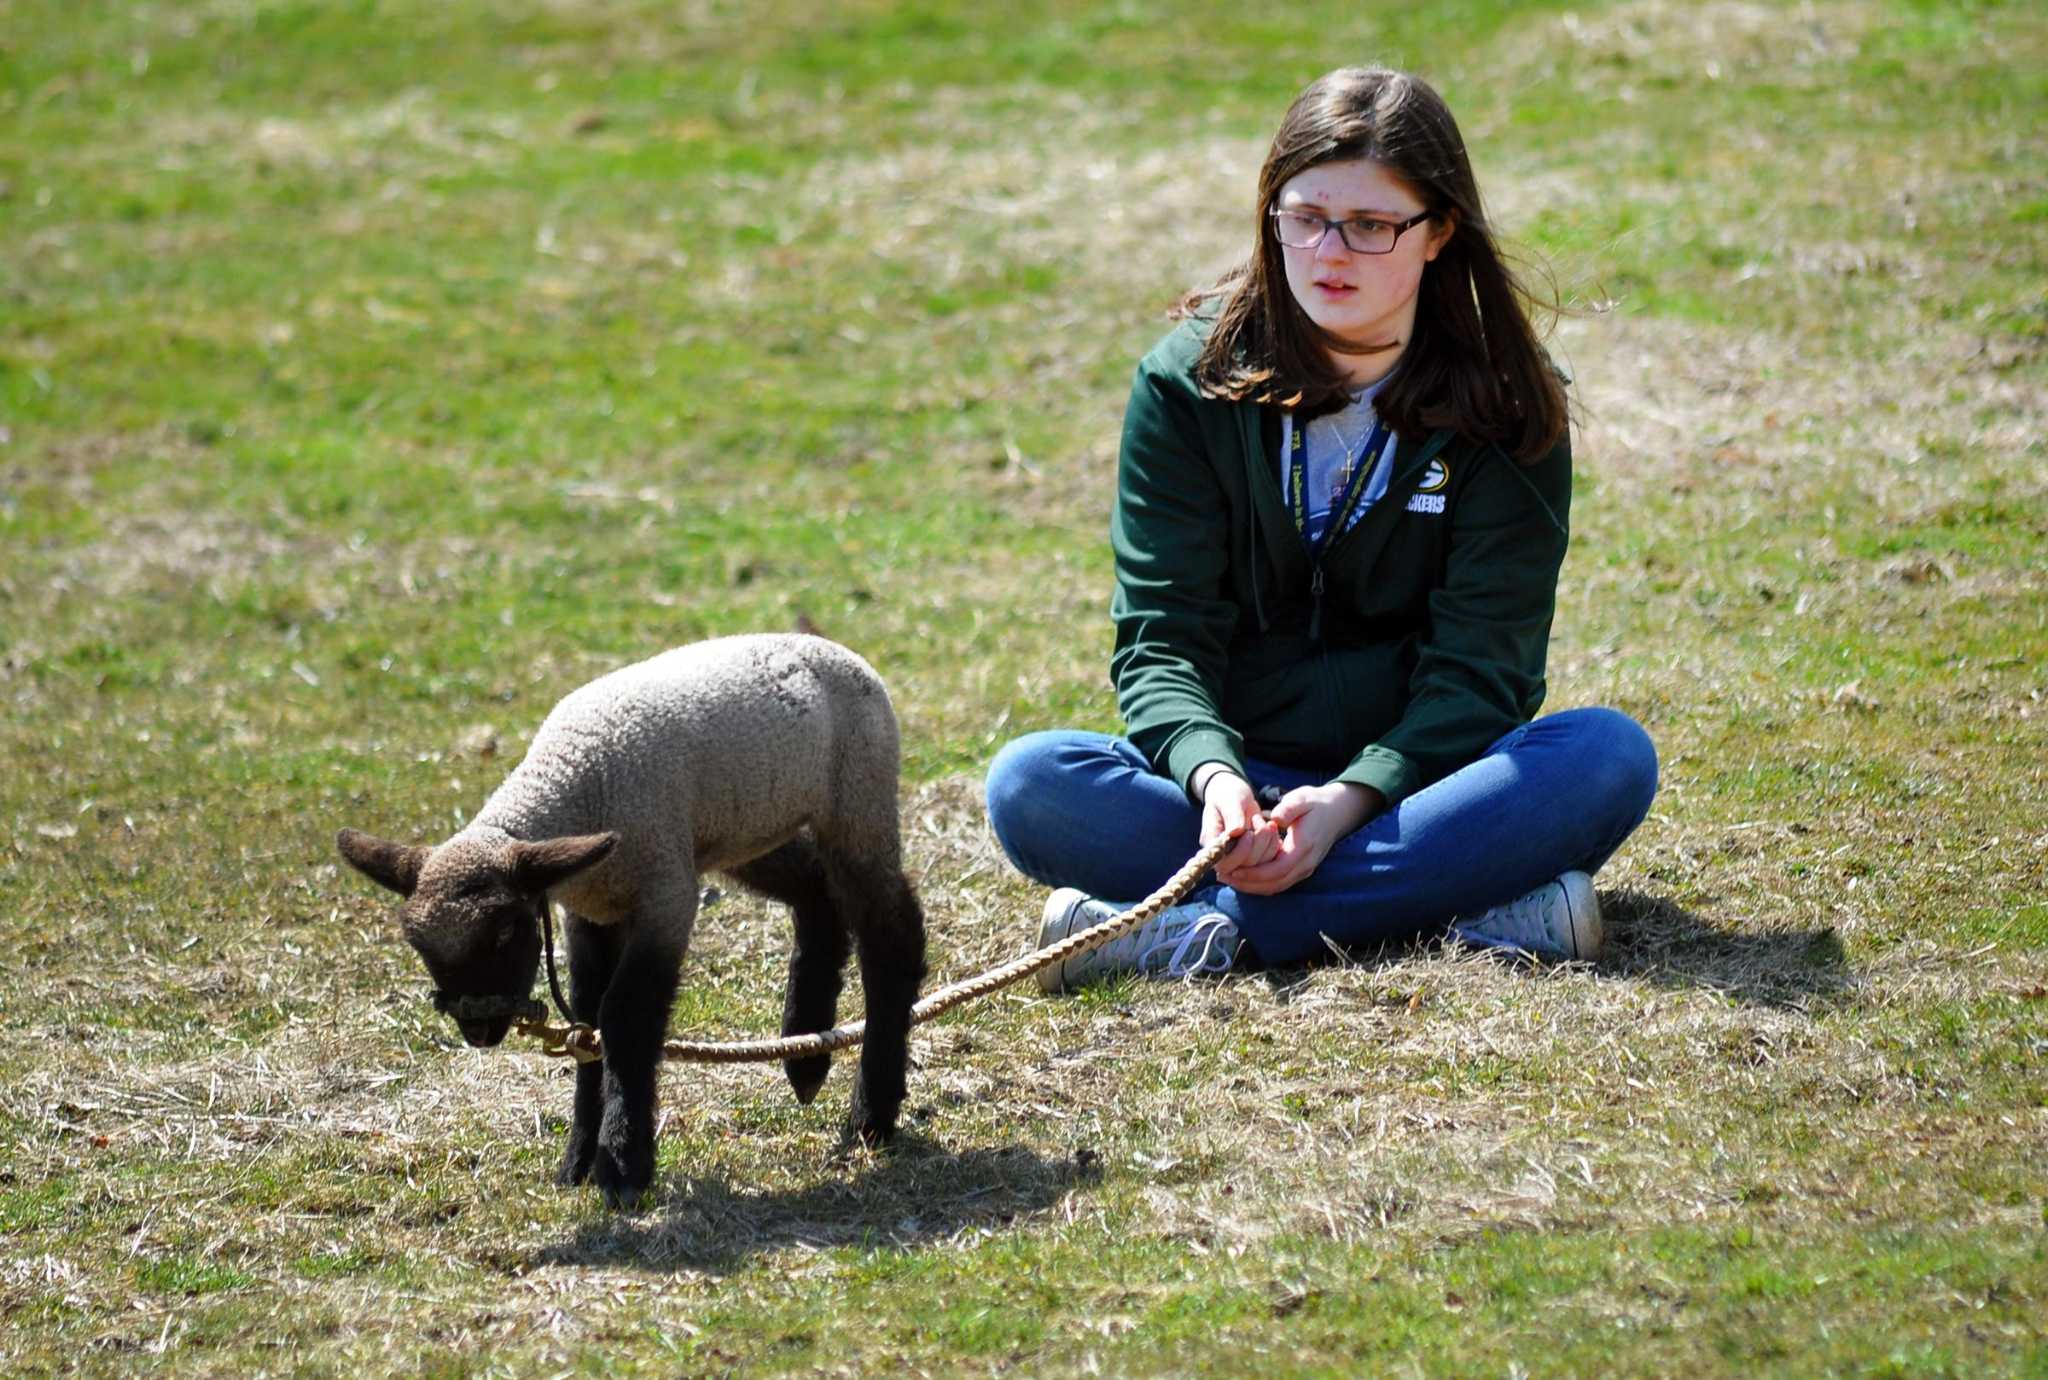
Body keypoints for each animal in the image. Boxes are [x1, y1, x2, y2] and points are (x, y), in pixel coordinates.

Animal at [335, 633, 928, 1208]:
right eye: (420, 947)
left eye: (505, 932)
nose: (477, 1028)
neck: (572, 780)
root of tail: (840, 654)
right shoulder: (587, 915)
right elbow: (587, 1019)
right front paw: (578, 1159)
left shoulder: (665, 896)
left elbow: (625, 1014)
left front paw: (623, 1165)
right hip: (744, 830)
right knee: (818, 897)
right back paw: (805, 1057)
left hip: (856, 800)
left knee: (891, 934)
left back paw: (870, 1115)